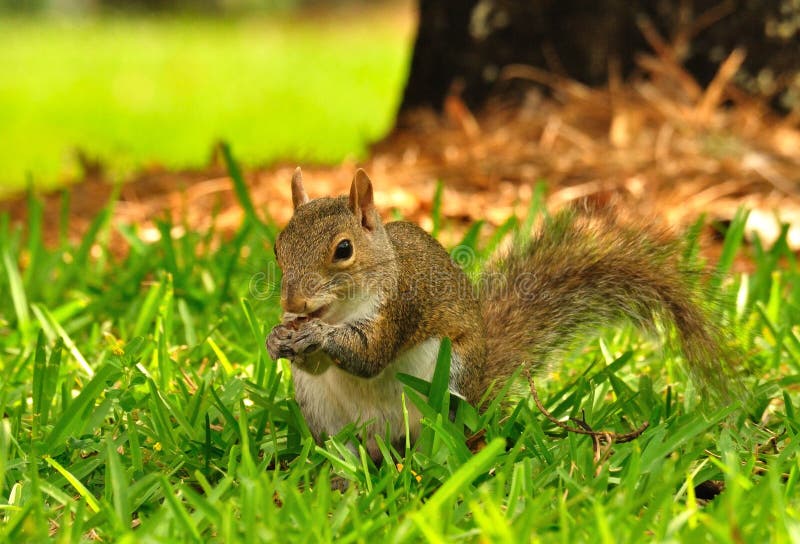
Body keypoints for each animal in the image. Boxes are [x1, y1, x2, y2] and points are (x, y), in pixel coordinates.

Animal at [266, 168, 732, 460]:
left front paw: (318, 336)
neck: (340, 309)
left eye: (343, 249)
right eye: (277, 245)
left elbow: (369, 354)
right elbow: (317, 362)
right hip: (322, 410)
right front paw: (278, 337)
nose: (292, 304)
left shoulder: (402, 305)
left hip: (445, 390)